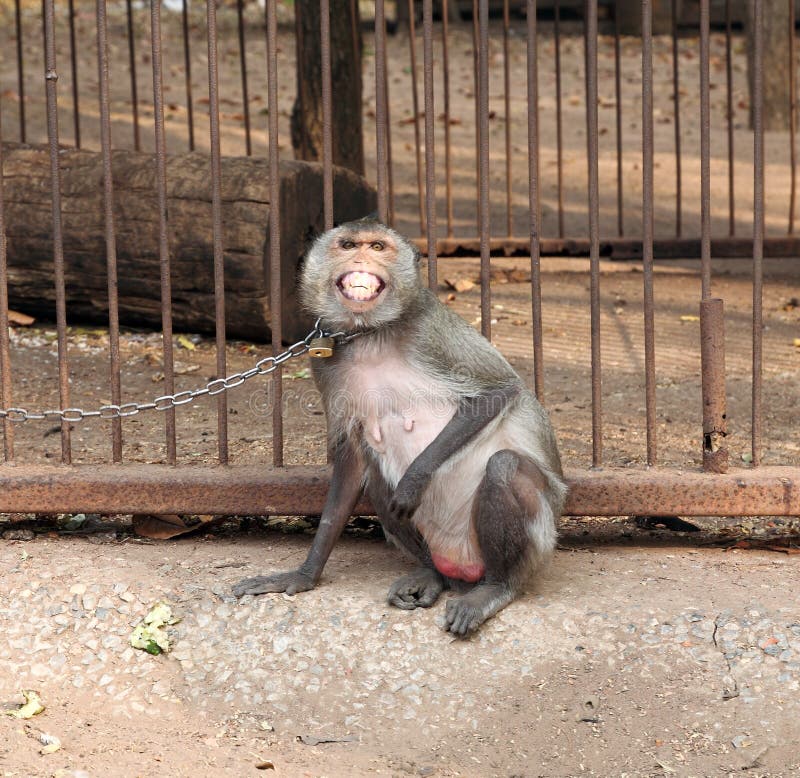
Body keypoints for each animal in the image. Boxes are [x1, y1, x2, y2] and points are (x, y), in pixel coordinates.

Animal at [233, 220, 567, 636]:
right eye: (348, 246)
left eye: (377, 246)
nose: (361, 259)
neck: (370, 334)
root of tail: (461, 567)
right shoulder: (324, 364)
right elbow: (352, 462)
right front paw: (304, 574)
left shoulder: (432, 332)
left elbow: (498, 392)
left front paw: (413, 481)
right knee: (378, 482)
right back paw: (432, 575)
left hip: (541, 541)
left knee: (504, 466)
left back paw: (496, 587)